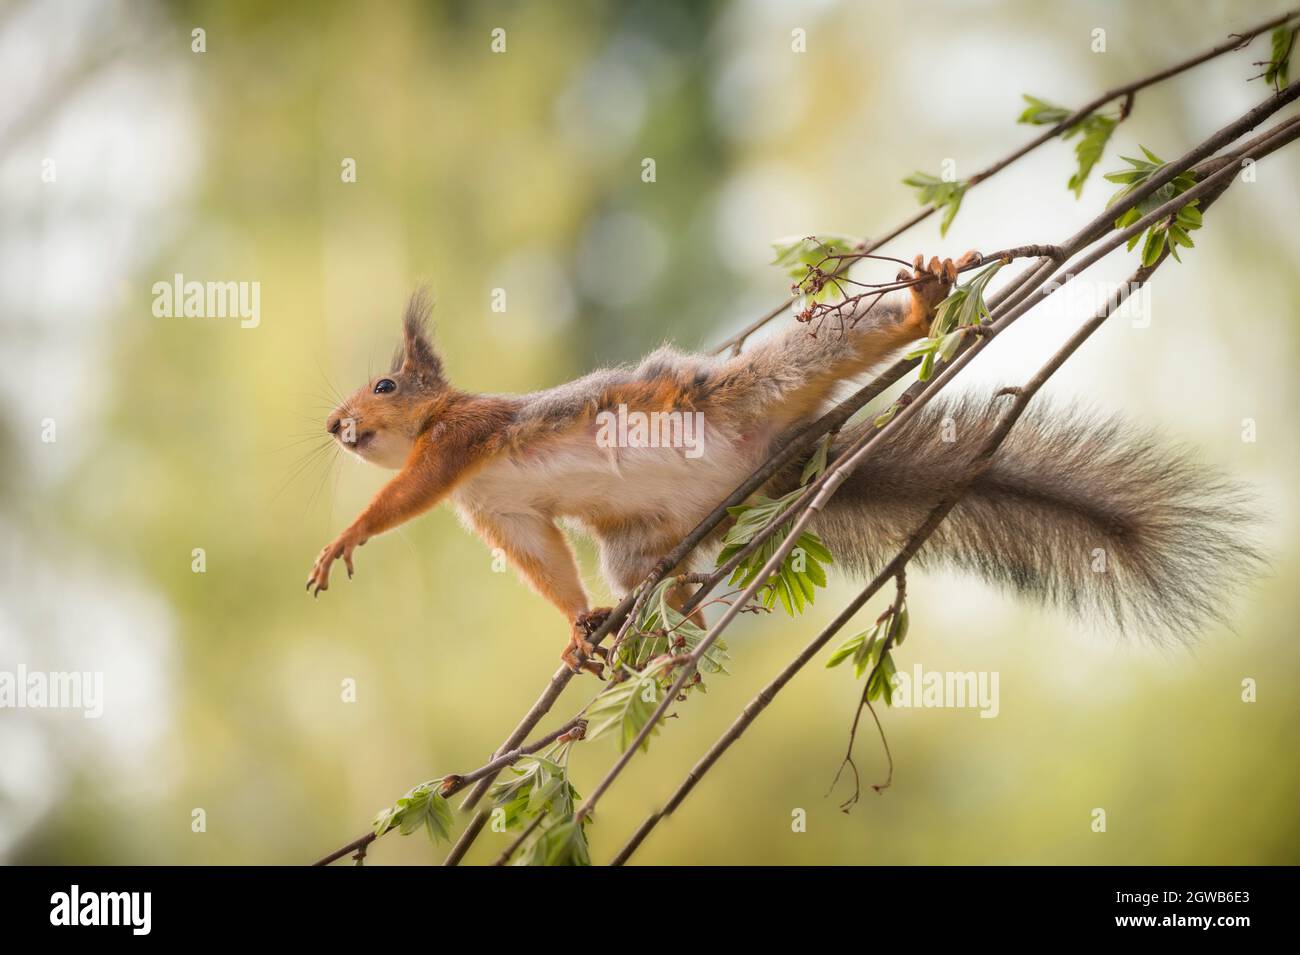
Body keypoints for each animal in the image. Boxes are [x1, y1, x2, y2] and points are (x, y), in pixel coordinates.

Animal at [307, 252, 1262, 673]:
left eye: (386, 384)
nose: (333, 423)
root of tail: (764, 468)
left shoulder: (460, 440)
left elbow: (405, 493)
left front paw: (343, 535)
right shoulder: (497, 511)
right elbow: (544, 561)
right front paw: (577, 627)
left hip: (753, 387)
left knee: (826, 350)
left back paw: (919, 308)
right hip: (639, 540)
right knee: (655, 576)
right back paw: (674, 623)